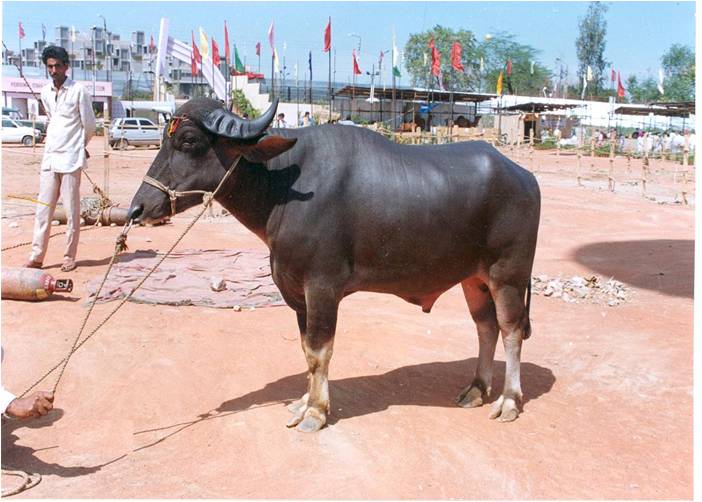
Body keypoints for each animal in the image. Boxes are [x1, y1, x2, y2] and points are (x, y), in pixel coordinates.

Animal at [128, 98, 540, 432]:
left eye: (189, 141)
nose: (137, 208)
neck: (282, 188)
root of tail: (526, 177)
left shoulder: (322, 286)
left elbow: (319, 350)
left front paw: (316, 412)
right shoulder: (296, 293)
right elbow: (306, 351)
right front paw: (303, 402)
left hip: (509, 276)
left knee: (510, 330)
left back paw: (508, 400)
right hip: (475, 279)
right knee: (486, 327)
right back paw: (477, 389)